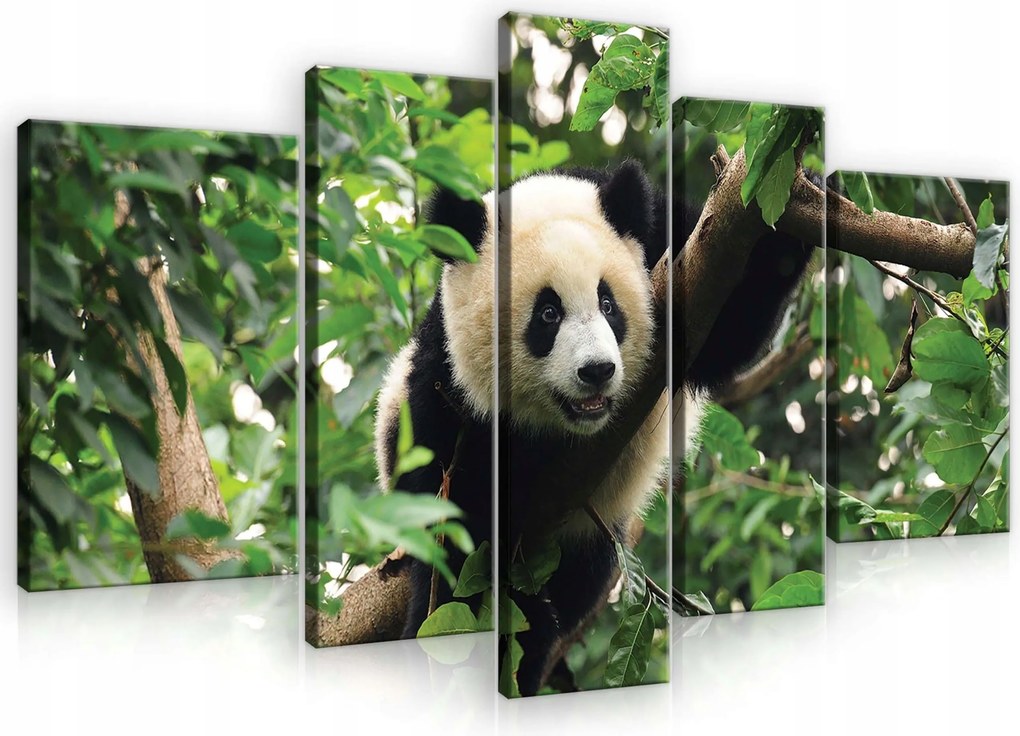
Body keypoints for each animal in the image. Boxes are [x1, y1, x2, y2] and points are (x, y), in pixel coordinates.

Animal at [374, 161, 812, 695]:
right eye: (547, 314)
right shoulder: (445, 384)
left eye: (608, 304)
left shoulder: (669, 243)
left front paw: (799, 201)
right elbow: (455, 518)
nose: (597, 370)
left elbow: (728, 328)